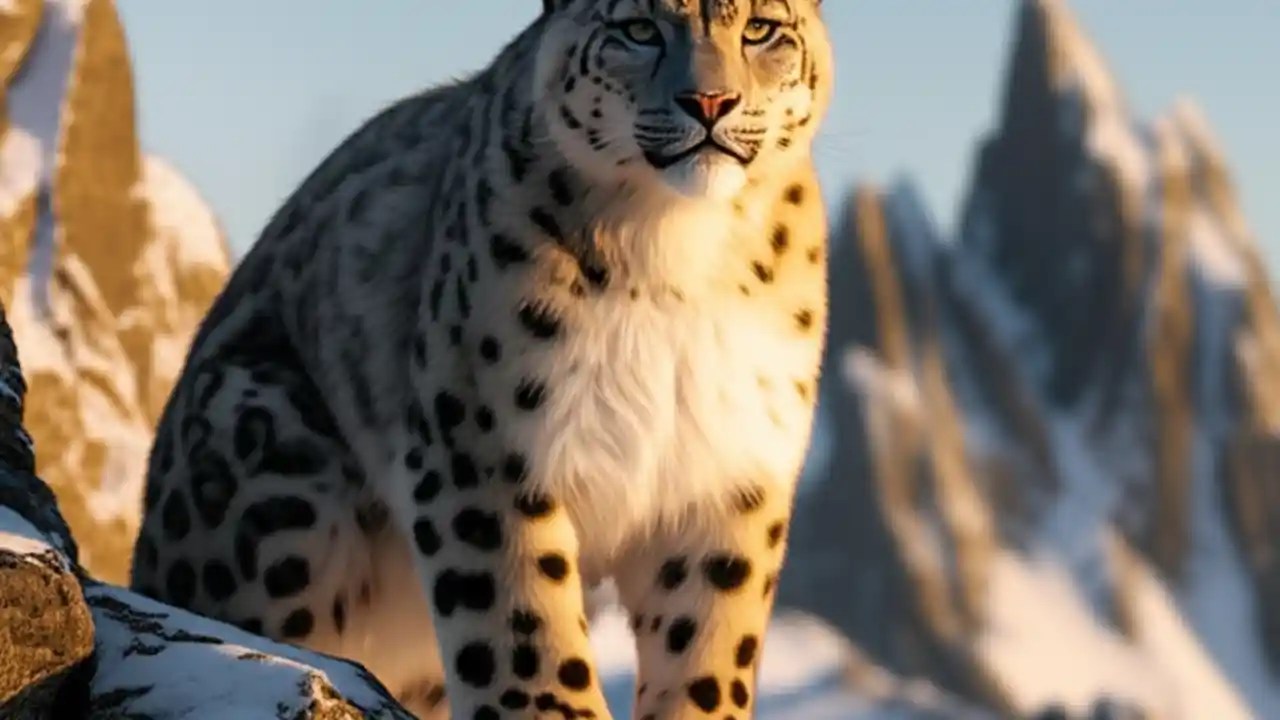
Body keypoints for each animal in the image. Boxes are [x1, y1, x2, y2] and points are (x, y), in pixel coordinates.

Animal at [129, 1, 833, 718]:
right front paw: (558, 708)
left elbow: (708, 631)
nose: (710, 101)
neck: (677, 251)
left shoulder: (729, 465)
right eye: (638, 28)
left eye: (761, 29)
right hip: (276, 455)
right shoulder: (486, 436)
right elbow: (523, 614)